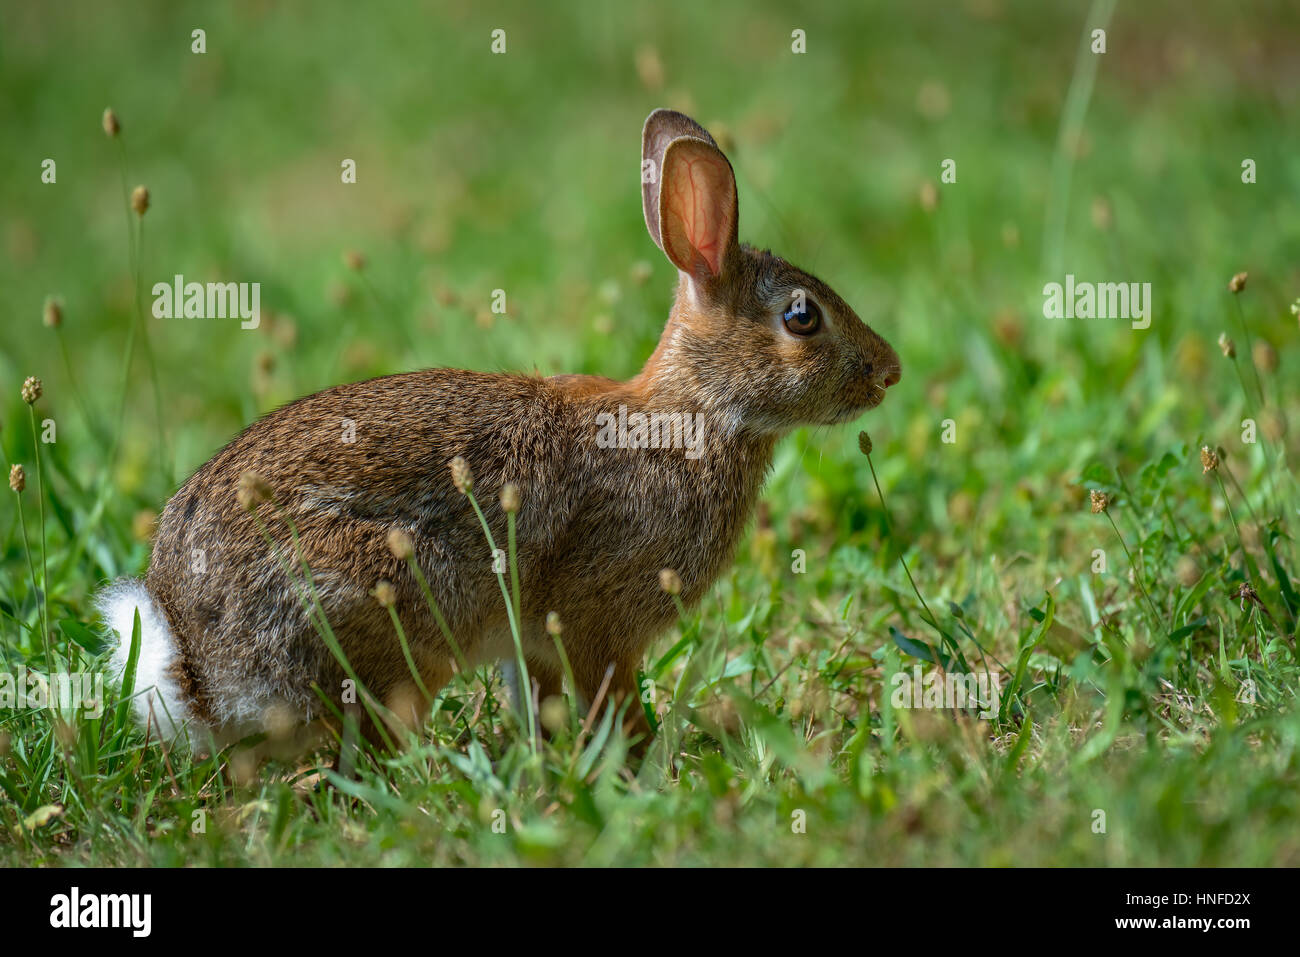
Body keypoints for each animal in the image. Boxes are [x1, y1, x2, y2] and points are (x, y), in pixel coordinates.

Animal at [98, 108, 901, 753]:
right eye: (802, 317)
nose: (889, 372)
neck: (690, 412)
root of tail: (198, 670)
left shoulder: (535, 645)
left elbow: (541, 703)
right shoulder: (598, 622)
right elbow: (611, 698)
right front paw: (640, 766)